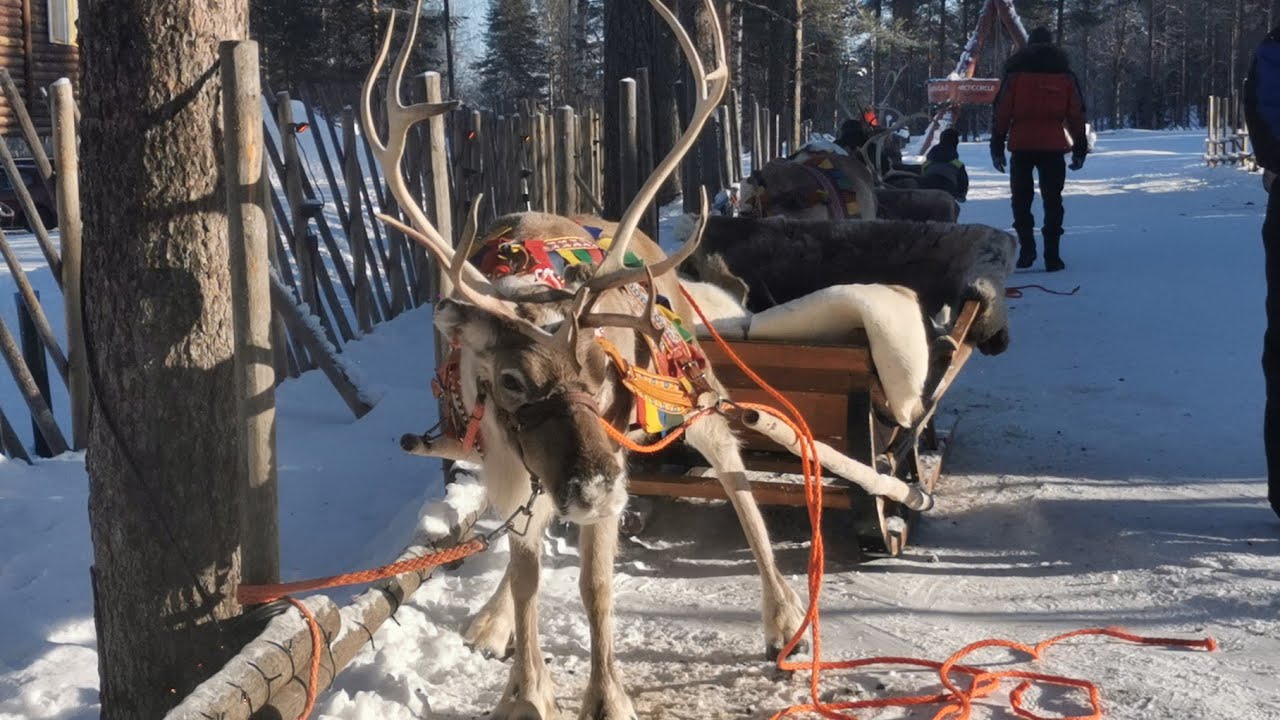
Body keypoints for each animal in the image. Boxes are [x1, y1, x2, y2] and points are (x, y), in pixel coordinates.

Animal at [362, 1, 805, 718]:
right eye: (511, 379)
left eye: (603, 375)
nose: (596, 488)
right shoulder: (515, 466)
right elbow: (525, 575)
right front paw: (525, 691)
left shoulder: (607, 464)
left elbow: (596, 588)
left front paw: (607, 696)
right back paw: (491, 622)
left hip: (693, 400)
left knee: (737, 473)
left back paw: (784, 615)